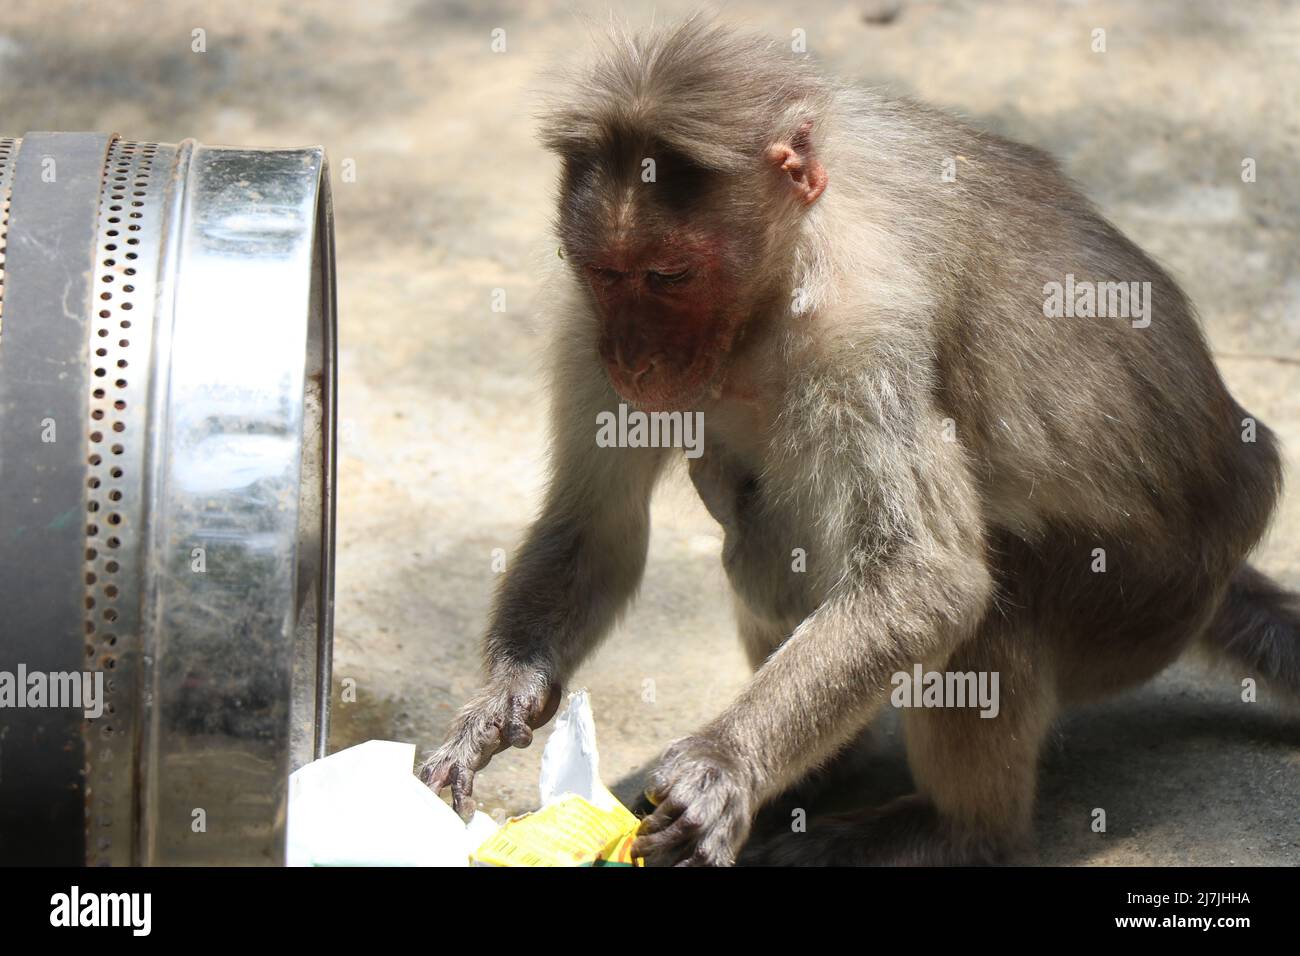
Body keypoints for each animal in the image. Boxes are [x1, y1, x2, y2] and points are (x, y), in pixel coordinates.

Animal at [419, 18, 1299, 866]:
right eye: (606, 272)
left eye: (668, 277)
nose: (633, 357)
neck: (768, 294)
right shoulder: (584, 328)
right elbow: (597, 525)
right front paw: (503, 698)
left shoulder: (859, 325)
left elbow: (928, 579)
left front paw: (724, 765)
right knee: (758, 531)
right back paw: (816, 771)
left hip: (1140, 604)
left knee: (988, 603)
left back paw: (961, 832)